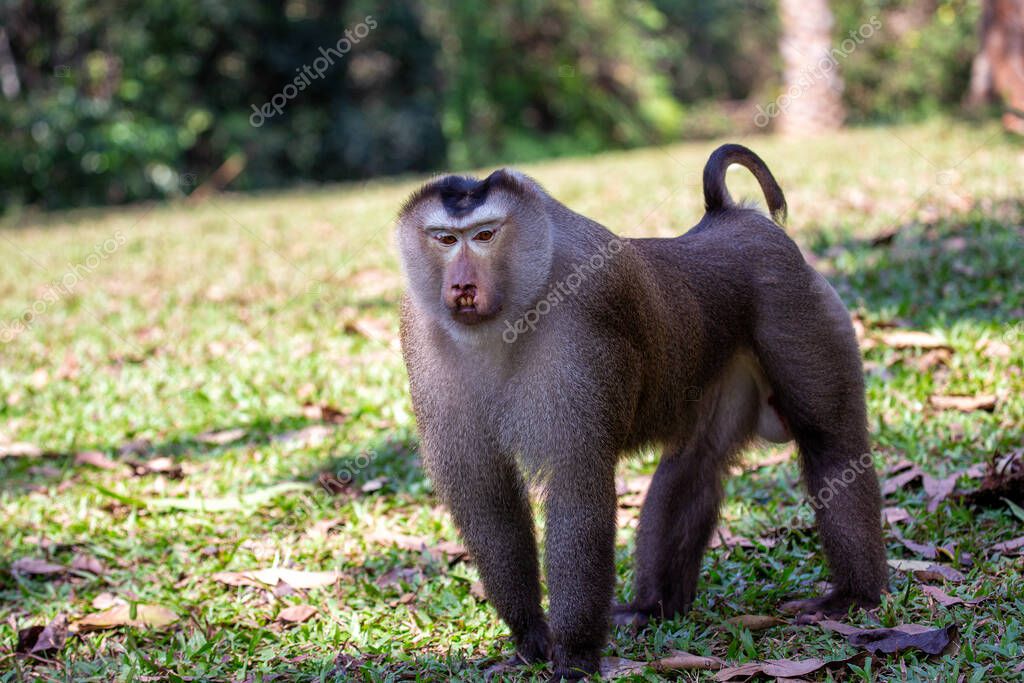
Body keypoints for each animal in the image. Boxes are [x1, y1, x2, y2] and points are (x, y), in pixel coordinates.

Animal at [395, 144, 888, 680]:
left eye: (484, 235)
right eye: (445, 239)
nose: (462, 285)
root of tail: (729, 219)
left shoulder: (585, 315)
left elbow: (577, 486)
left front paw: (575, 654)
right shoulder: (420, 331)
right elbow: (485, 493)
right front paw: (529, 635)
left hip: (796, 304)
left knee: (830, 443)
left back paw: (854, 595)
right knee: (695, 463)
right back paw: (651, 607)